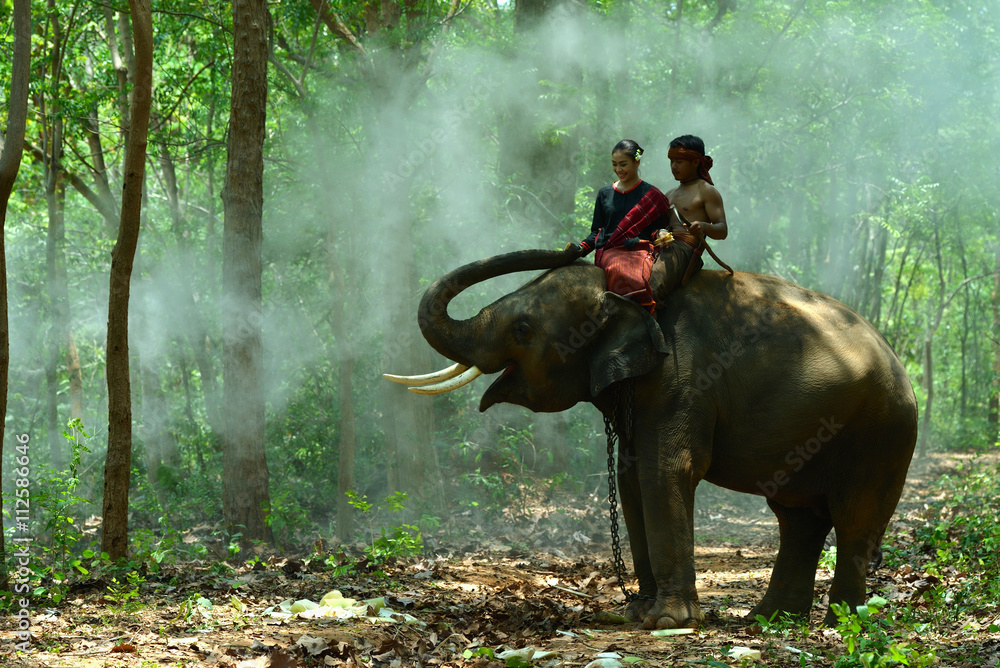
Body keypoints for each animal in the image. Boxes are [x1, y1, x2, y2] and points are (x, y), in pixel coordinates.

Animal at [385, 248, 917, 628]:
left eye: (522, 327)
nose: (571, 244)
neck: (628, 298)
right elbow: (631, 475)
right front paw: (637, 612)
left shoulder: (681, 375)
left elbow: (667, 469)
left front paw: (666, 621)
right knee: (798, 519)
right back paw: (767, 619)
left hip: (882, 434)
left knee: (854, 519)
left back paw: (843, 623)